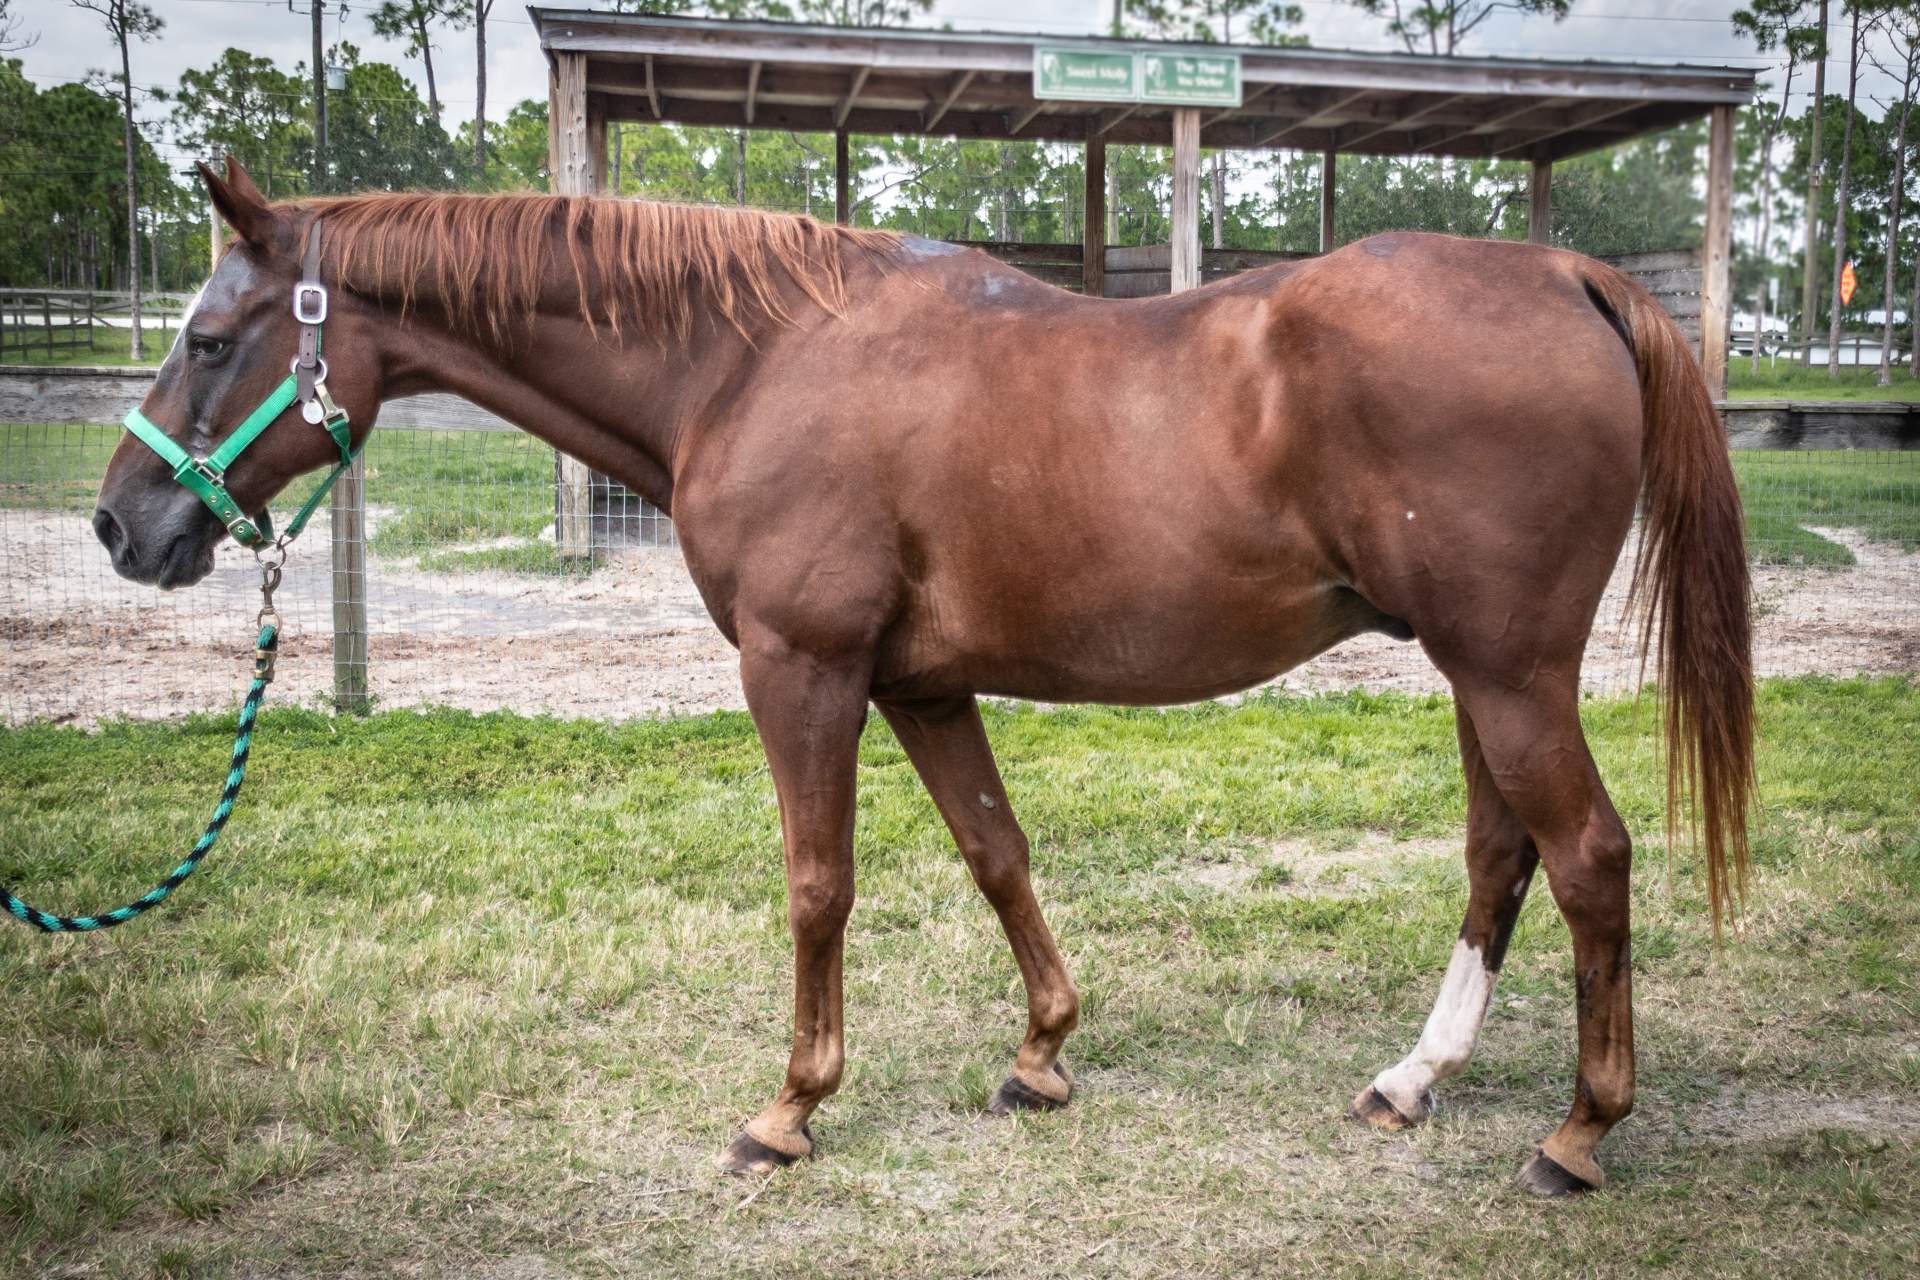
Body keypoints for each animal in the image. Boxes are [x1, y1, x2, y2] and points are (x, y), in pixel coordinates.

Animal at [94, 158, 1753, 1195]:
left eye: (212, 335)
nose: (123, 523)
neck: (749, 361)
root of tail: (1566, 273)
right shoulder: (921, 687)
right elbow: (995, 853)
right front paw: (1041, 1057)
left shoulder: (804, 671)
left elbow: (817, 884)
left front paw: (787, 1110)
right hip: (1480, 676)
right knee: (1501, 858)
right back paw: (1415, 1080)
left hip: (1512, 673)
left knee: (1588, 858)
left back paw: (1579, 1135)